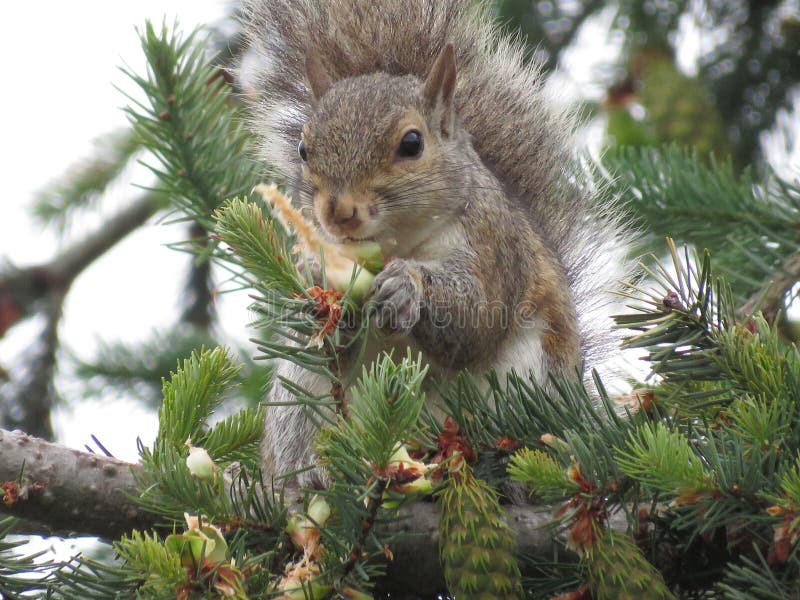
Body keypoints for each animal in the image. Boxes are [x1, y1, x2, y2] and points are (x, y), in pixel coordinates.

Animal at [239, 0, 632, 488]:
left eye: (412, 143)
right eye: (303, 149)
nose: (338, 212)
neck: (396, 243)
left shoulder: (492, 244)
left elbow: (477, 317)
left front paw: (406, 287)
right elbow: (323, 338)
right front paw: (321, 302)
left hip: (526, 380)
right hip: (300, 402)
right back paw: (308, 478)